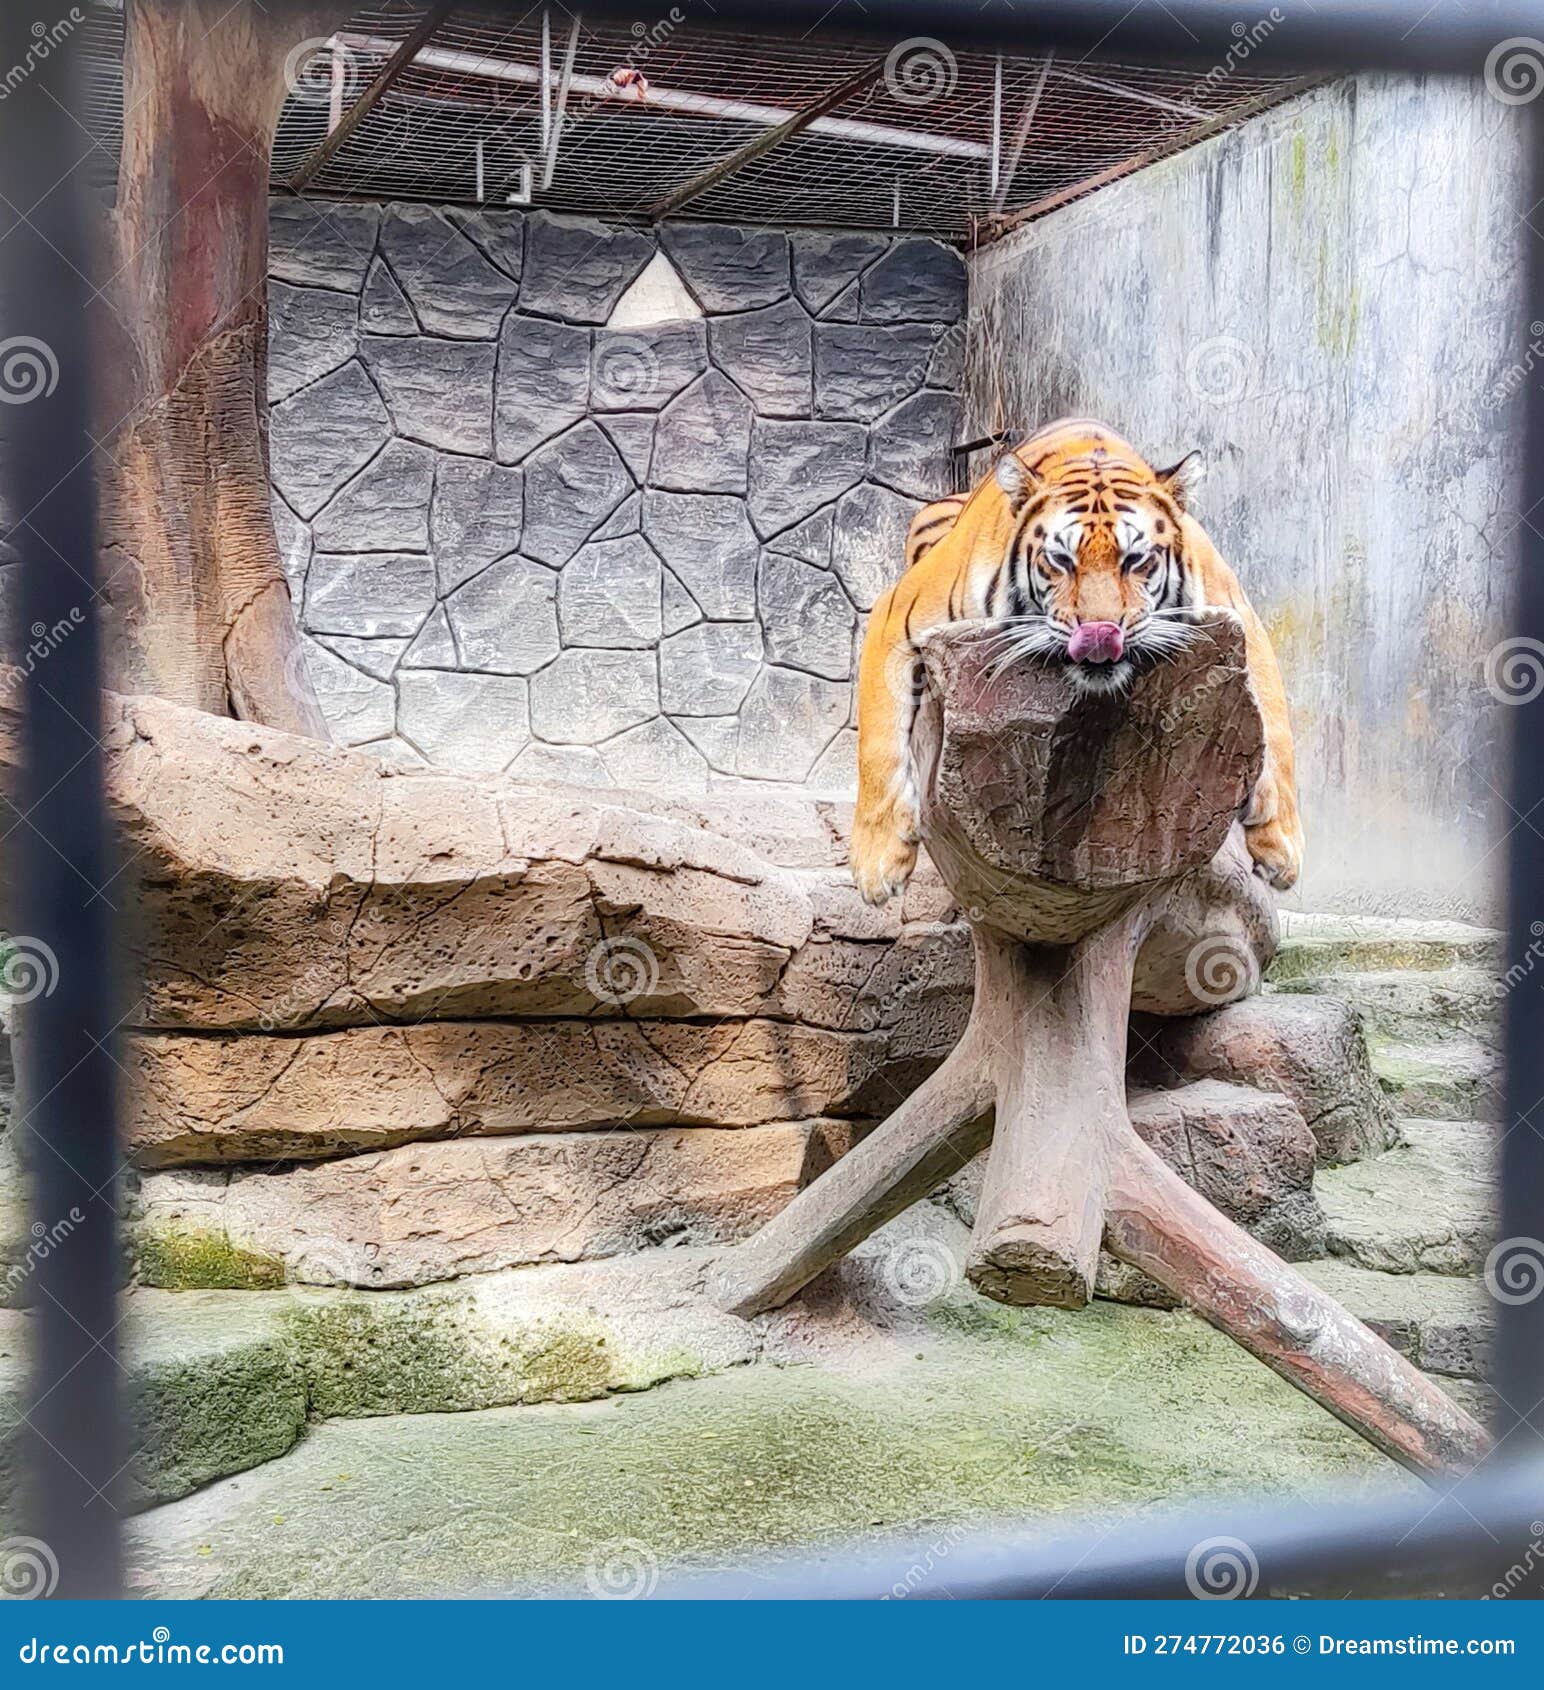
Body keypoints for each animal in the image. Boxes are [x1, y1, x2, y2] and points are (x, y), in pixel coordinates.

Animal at [850, 417, 1303, 906]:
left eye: (1135, 559)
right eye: (1061, 560)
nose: (1100, 632)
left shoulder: (1242, 615)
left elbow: (1278, 725)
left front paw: (1282, 848)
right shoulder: (896, 609)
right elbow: (877, 740)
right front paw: (877, 865)